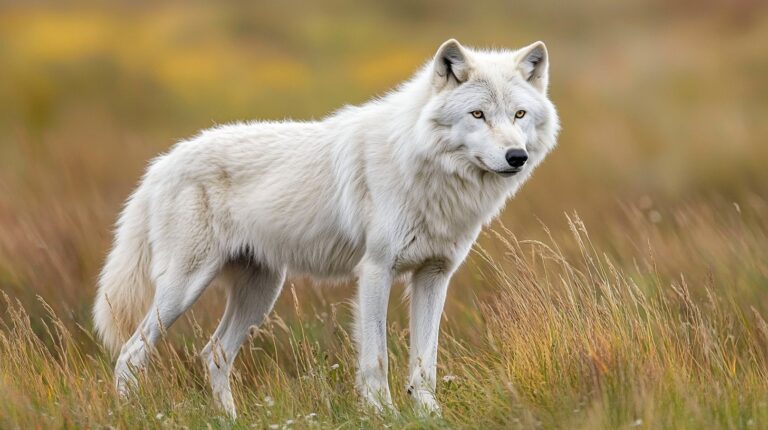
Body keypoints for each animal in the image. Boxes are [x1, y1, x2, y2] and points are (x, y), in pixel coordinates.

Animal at [93, 39, 559, 418]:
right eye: (478, 114)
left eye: (518, 114)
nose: (516, 156)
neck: (425, 168)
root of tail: (161, 163)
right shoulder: (375, 271)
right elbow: (376, 359)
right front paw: (382, 414)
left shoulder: (434, 274)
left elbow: (424, 363)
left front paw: (430, 415)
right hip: (184, 289)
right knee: (131, 354)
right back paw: (135, 414)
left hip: (260, 294)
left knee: (214, 354)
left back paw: (230, 419)